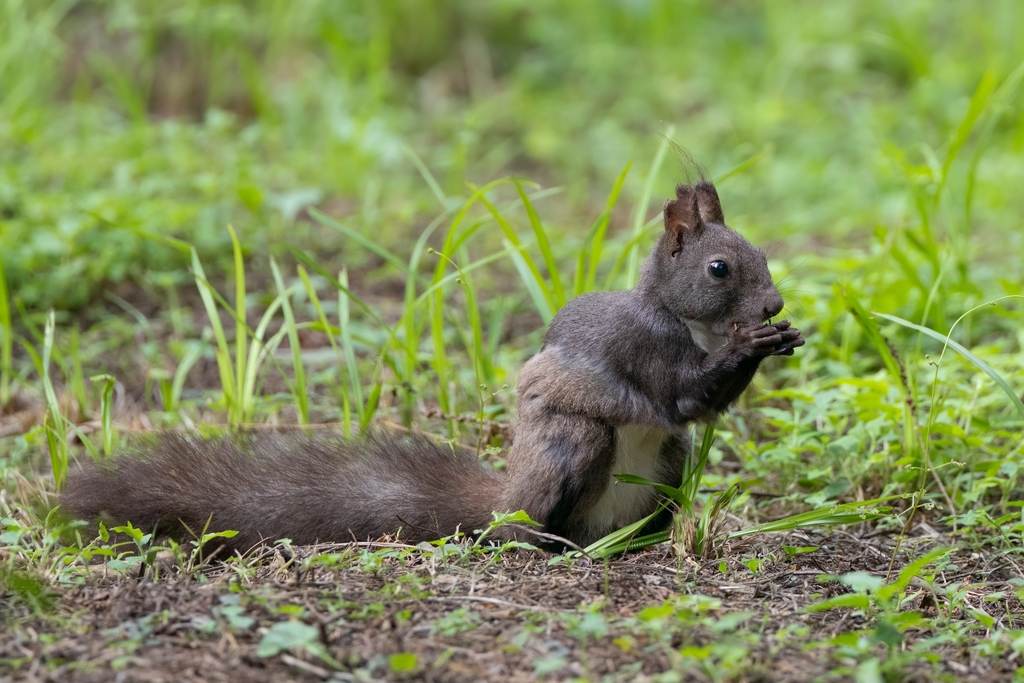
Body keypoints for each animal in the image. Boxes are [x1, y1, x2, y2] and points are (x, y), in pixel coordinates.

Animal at [60, 181, 803, 554]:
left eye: (762, 253)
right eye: (719, 268)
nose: (774, 303)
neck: (688, 324)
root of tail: (505, 502)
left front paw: (779, 335)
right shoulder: (643, 348)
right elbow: (685, 394)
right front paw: (753, 343)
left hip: (669, 463)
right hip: (574, 445)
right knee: (533, 526)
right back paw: (548, 545)